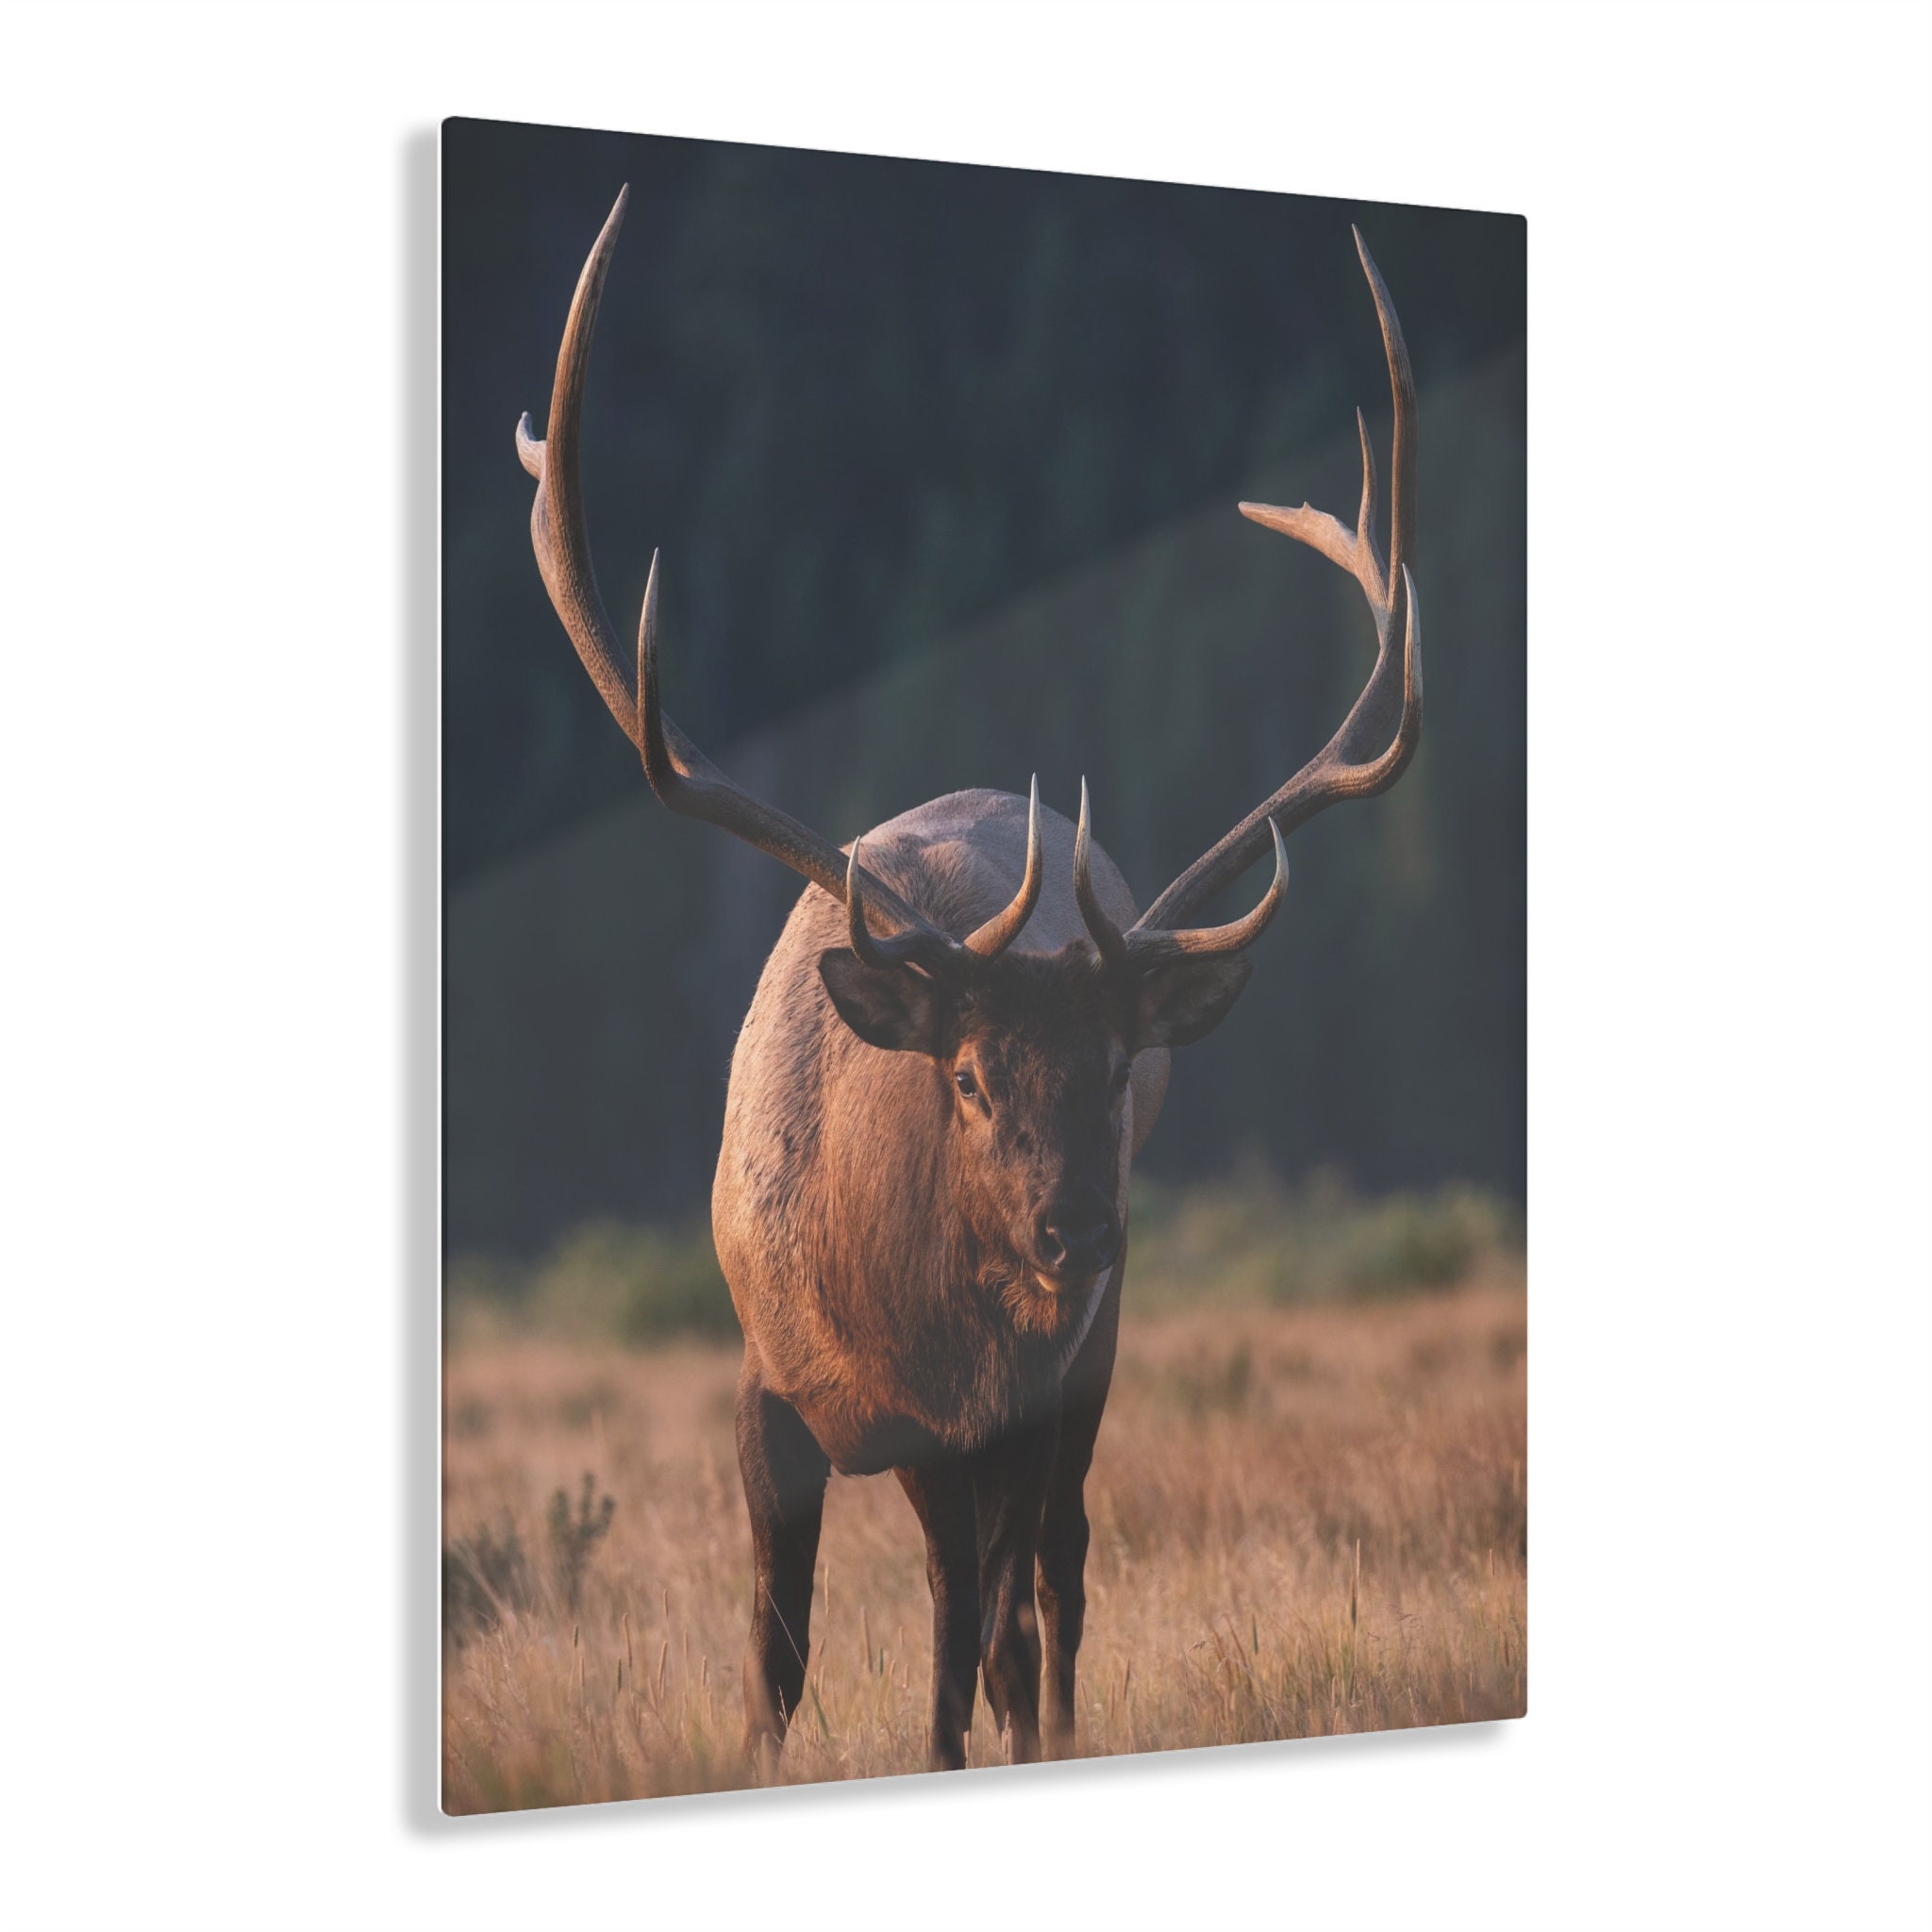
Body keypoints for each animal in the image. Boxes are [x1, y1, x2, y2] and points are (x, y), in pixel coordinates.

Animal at [514, 186, 1421, 1772]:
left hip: (1089, 1376)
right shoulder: (775, 1383)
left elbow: (977, 1630)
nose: (1076, 1232)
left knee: (1052, 1585)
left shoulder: (1021, 1404)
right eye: (970, 1078)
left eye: (1119, 1071)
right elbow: (781, 1646)